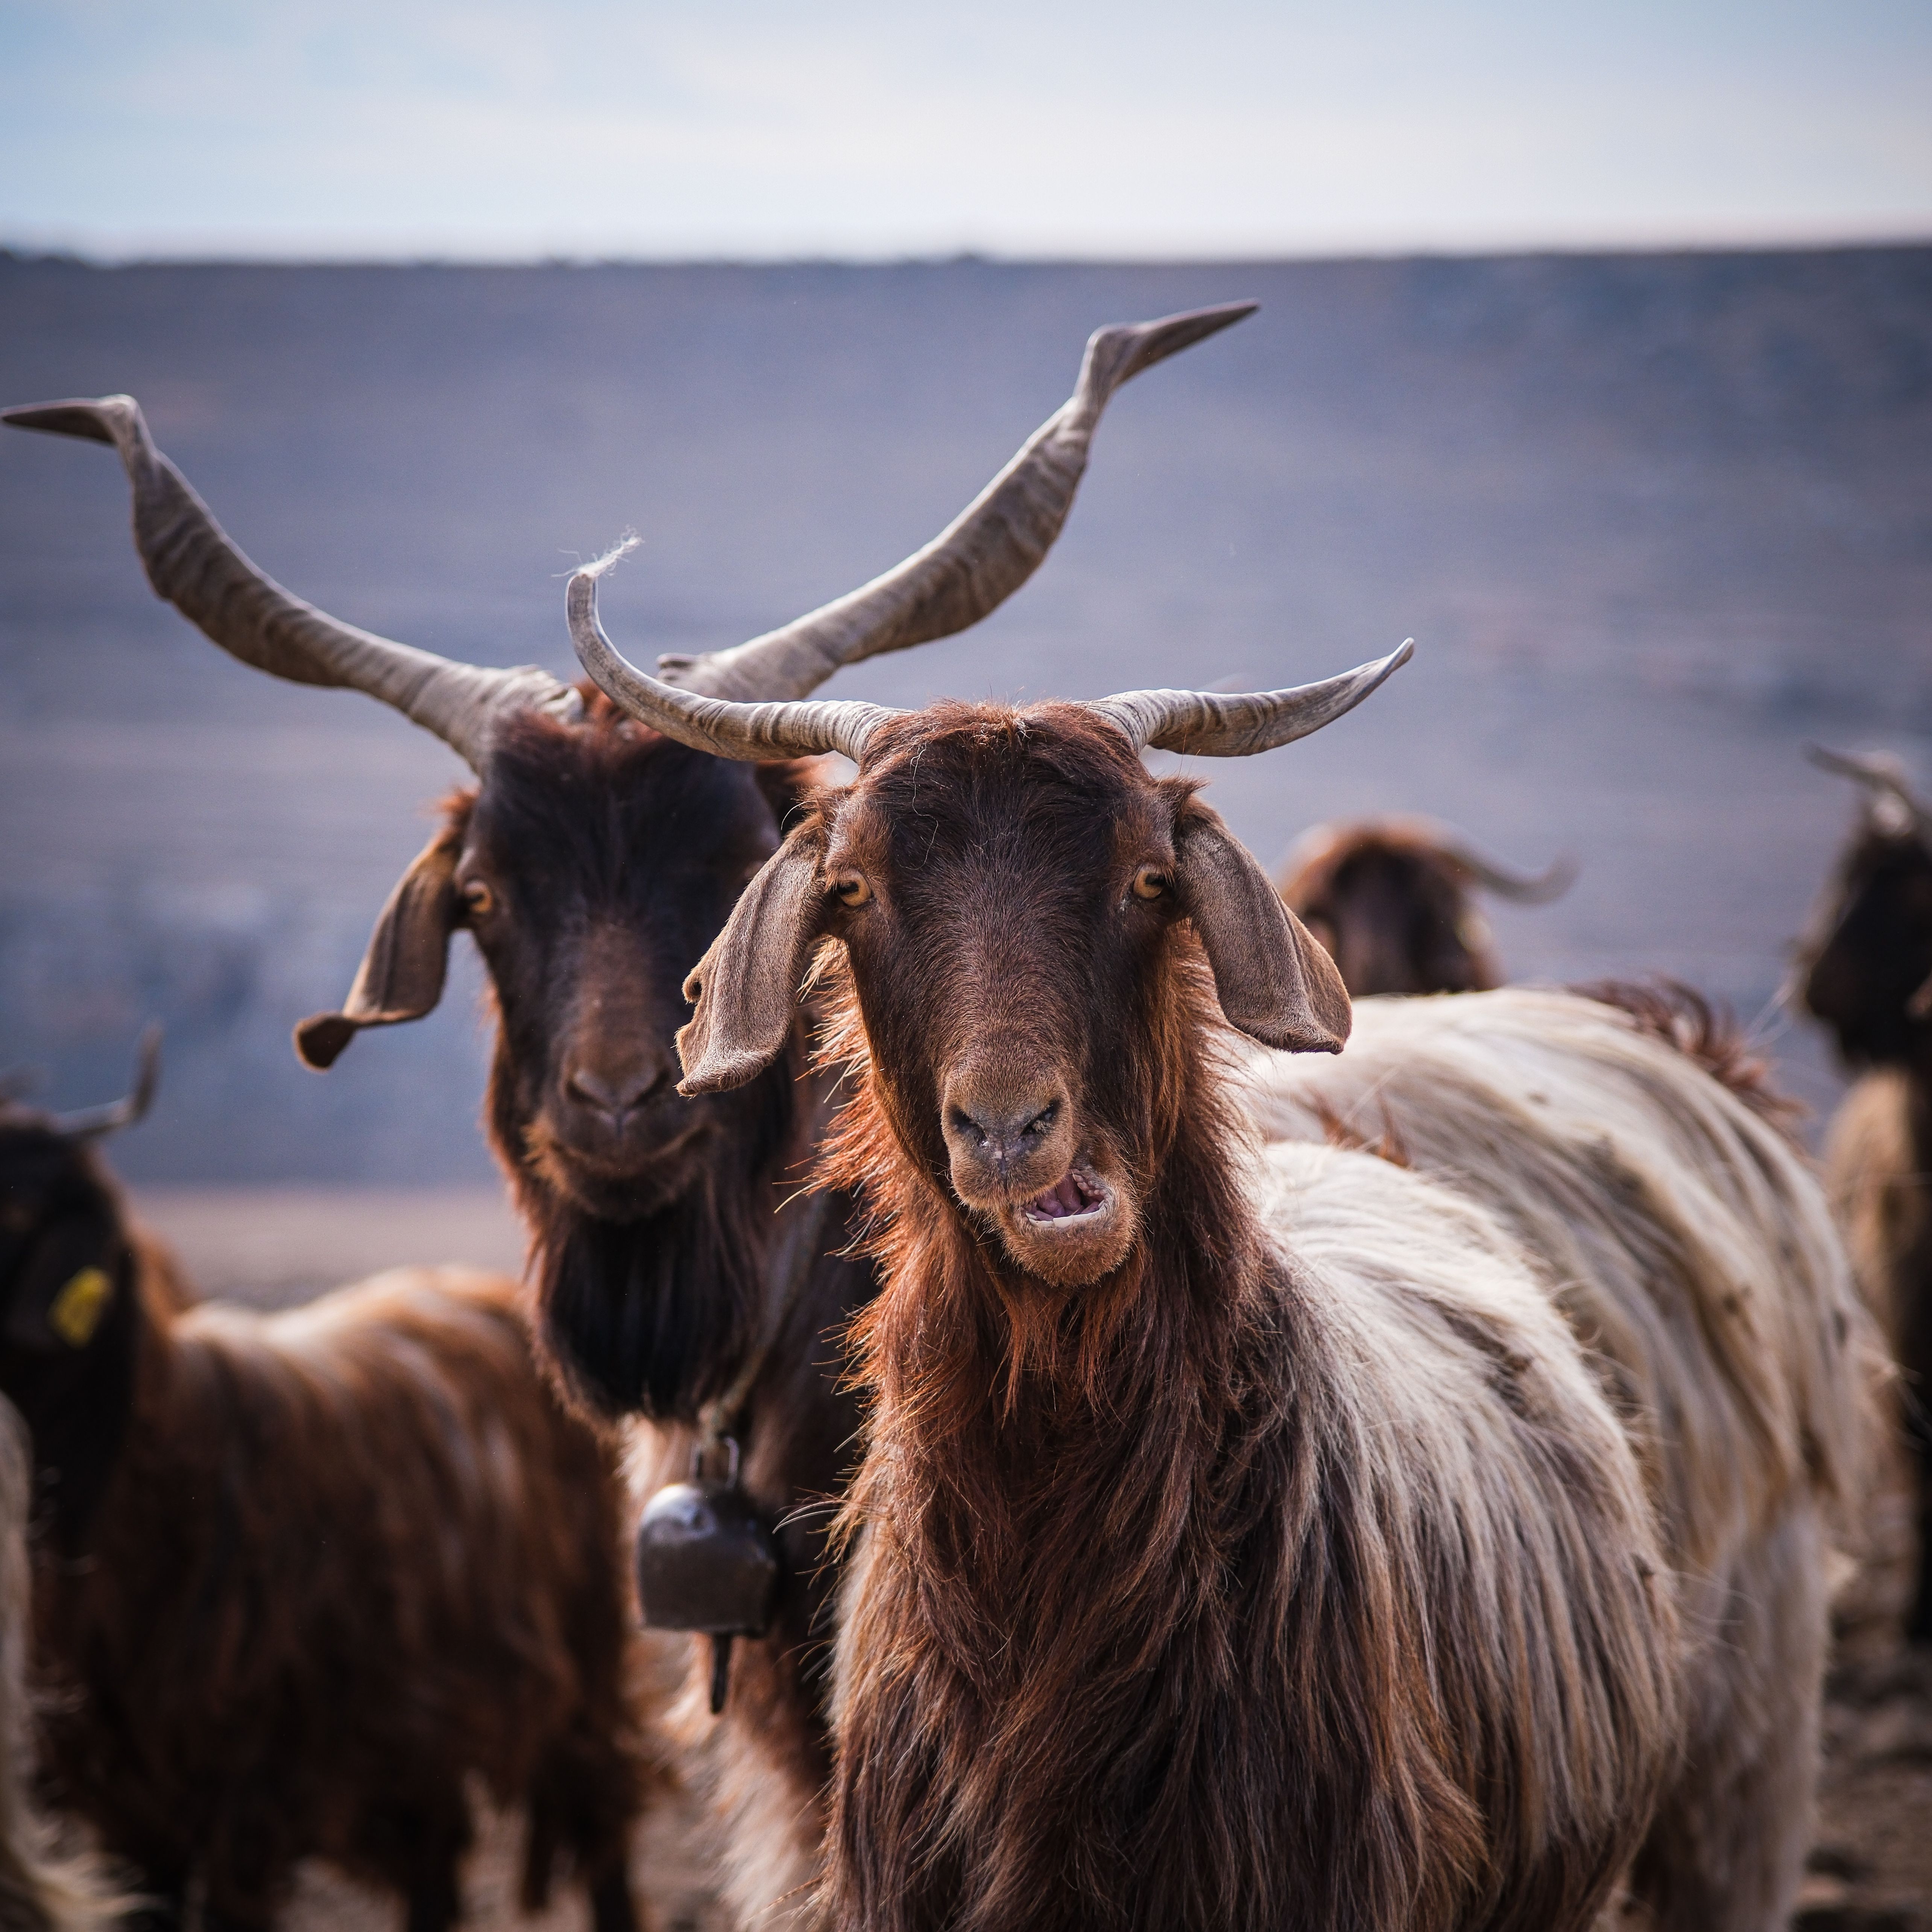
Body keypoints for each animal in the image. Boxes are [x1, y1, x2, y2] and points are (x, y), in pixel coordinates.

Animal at [0, 1044, 653, 1932]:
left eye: (17, 1213)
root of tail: (483, 1290)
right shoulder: (134, 1793)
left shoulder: (246, 1780)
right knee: (435, 1868)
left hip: (582, 1657)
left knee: (602, 1819)